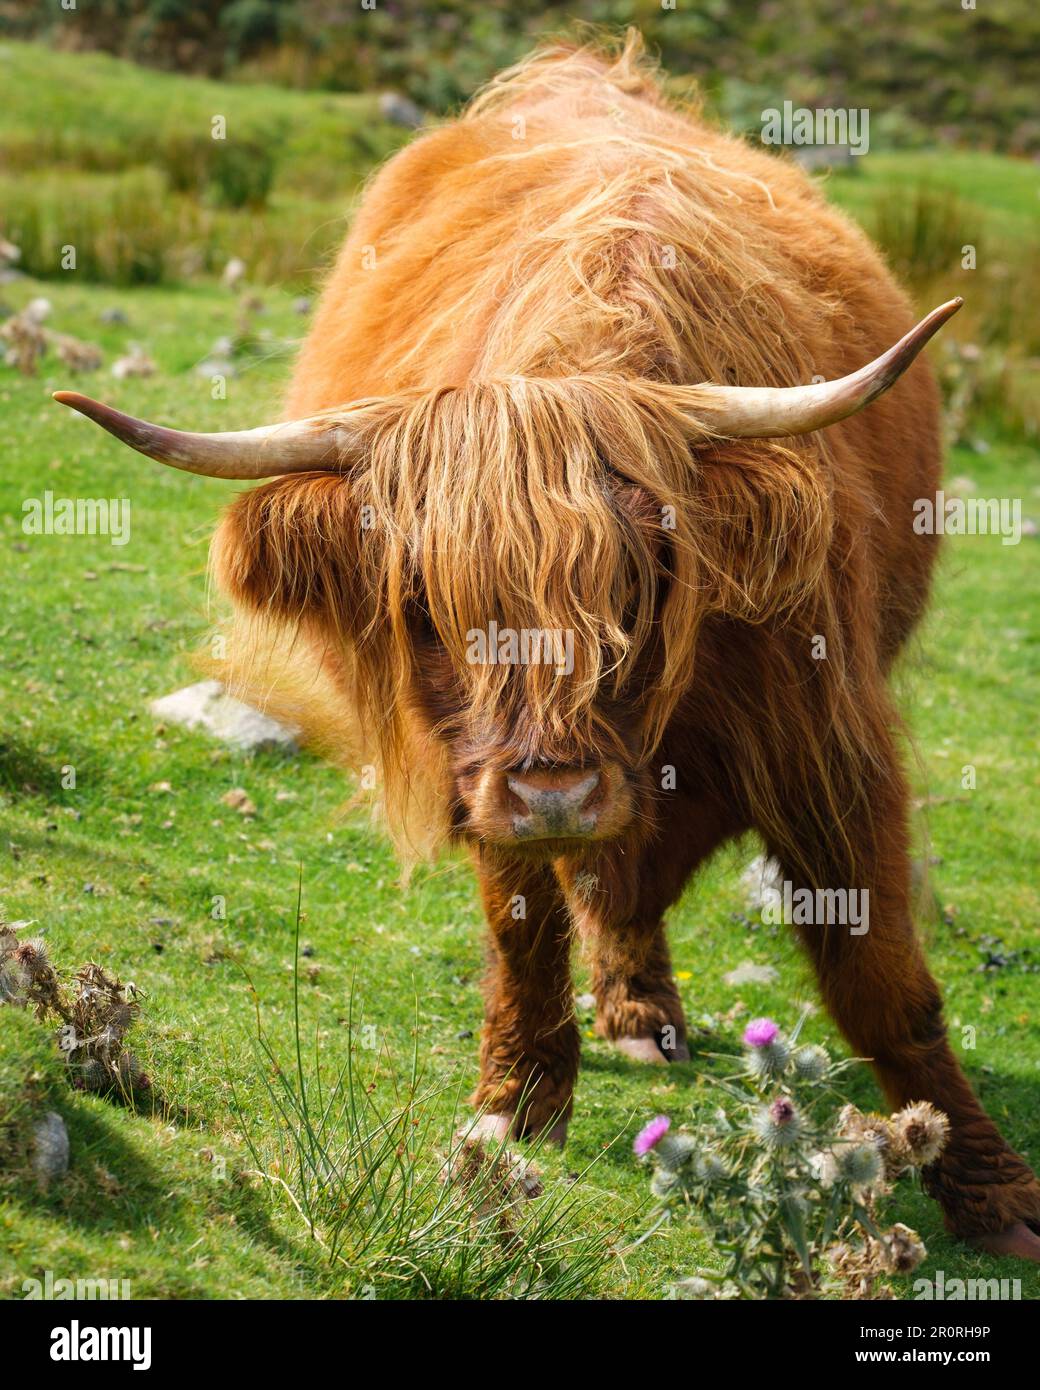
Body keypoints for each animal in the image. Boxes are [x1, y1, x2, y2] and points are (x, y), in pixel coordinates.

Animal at [56, 34, 1040, 1259]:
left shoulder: (824, 732)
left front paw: (993, 1195)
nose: (559, 789)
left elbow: (881, 979)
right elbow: (520, 918)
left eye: (644, 582)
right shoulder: (477, 766)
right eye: (426, 602)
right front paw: (517, 1101)